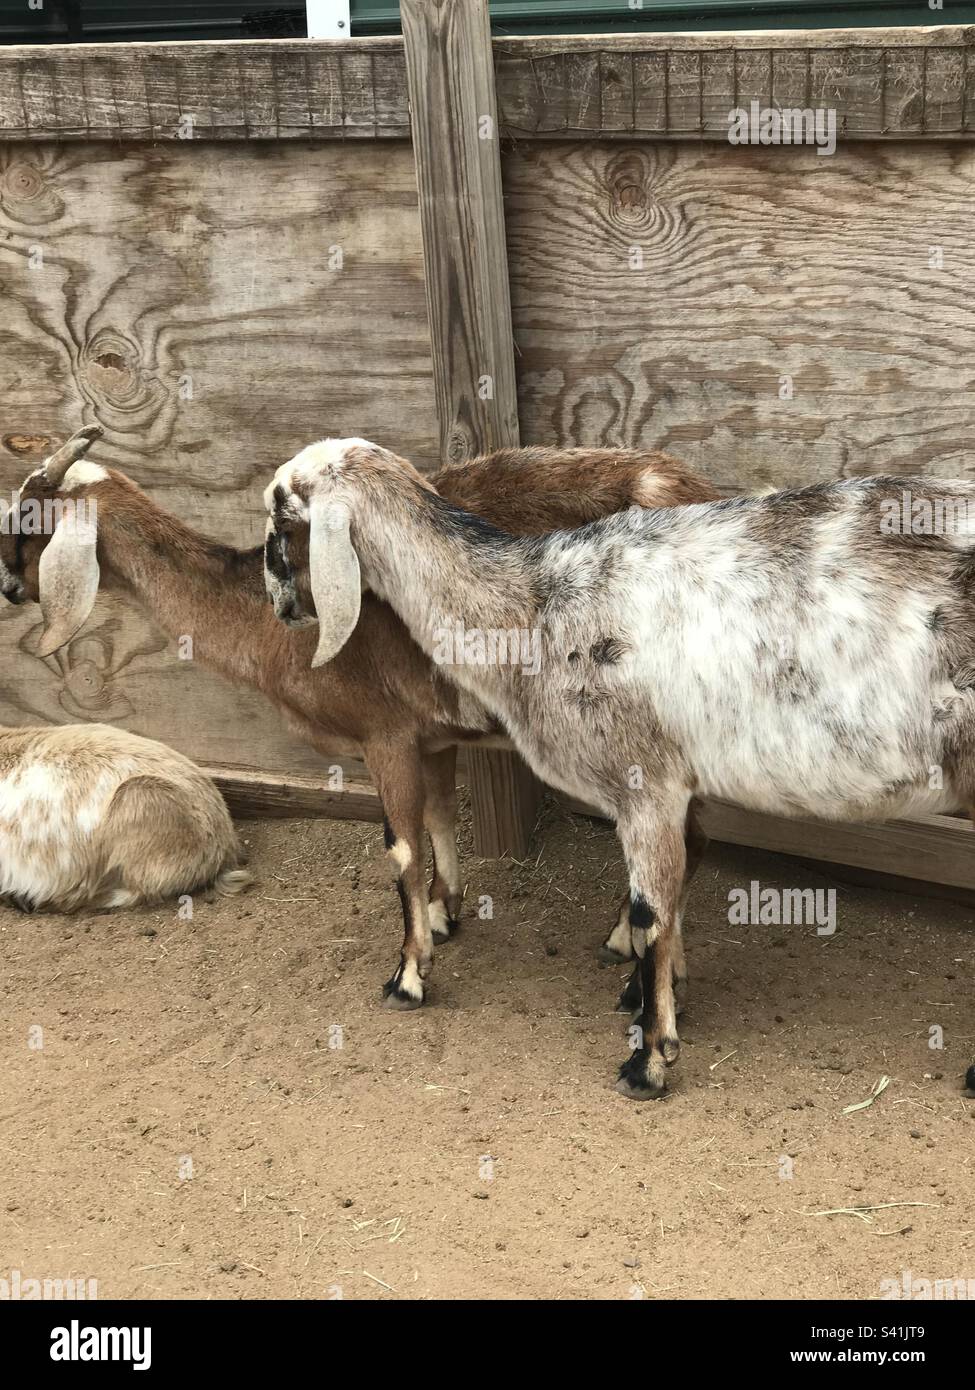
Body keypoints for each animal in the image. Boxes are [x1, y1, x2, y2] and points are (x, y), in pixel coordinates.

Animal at [264, 437, 975, 1099]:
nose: (279, 606)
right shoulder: (670, 784)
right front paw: (651, 1003)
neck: (530, 603)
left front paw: (647, 1061)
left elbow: (647, 913)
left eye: (279, 519)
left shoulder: (646, 783)